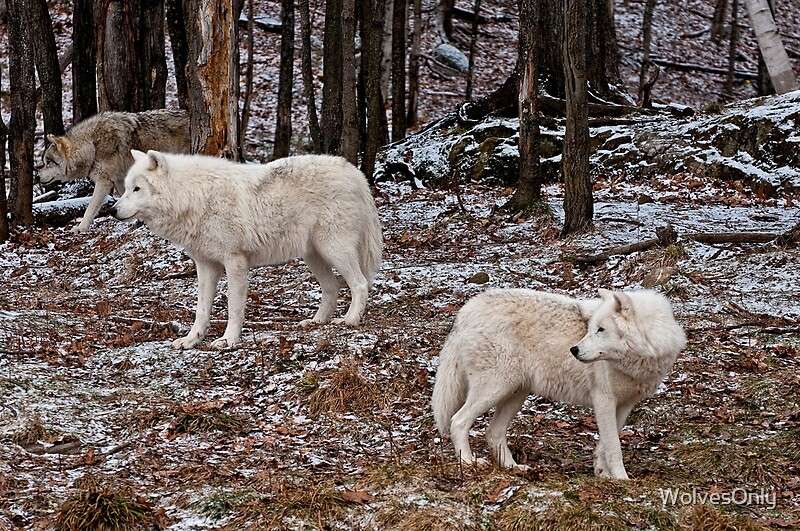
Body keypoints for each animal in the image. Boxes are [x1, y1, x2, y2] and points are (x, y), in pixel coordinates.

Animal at [38, 109, 190, 233]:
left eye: (48, 163)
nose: (38, 177)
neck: (92, 146)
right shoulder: (119, 180)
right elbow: (125, 197)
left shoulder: (104, 181)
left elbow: (90, 207)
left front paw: (80, 228)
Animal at [111, 150, 383, 350]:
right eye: (126, 188)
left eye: (137, 189)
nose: (112, 210)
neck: (193, 196)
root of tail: (355, 171)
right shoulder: (205, 266)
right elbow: (201, 310)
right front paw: (191, 340)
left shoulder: (235, 262)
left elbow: (234, 307)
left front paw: (228, 340)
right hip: (313, 256)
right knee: (333, 287)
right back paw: (316, 321)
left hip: (334, 249)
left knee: (360, 284)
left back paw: (350, 320)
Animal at [431, 288, 685, 479]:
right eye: (592, 328)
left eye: (600, 330)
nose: (574, 350)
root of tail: (467, 308)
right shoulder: (603, 400)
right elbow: (614, 446)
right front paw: (622, 480)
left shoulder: (624, 405)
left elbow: (605, 443)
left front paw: (602, 474)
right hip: (494, 389)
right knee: (458, 421)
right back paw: (469, 462)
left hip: (515, 394)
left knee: (493, 433)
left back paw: (514, 468)